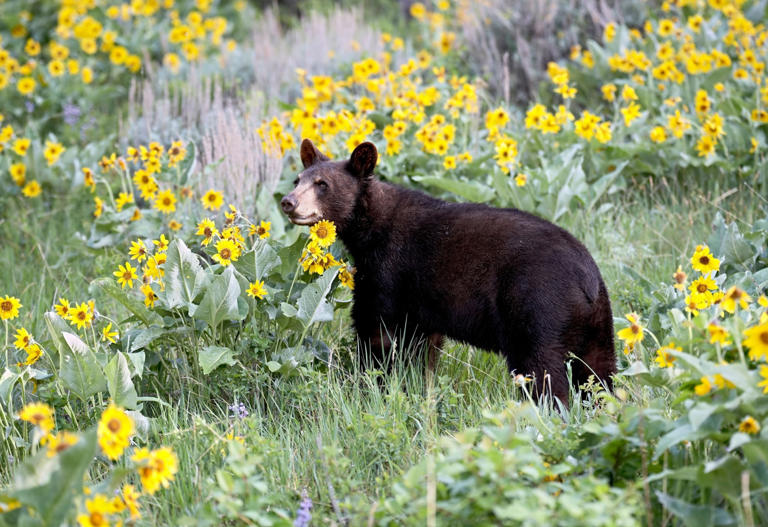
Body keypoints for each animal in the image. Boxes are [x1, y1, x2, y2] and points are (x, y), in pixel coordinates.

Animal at [281, 139, 616, 404]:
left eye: (322, 185)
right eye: (297, 180)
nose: (288, 201)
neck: (371, 230)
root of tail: (587, 279)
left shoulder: (390, 272)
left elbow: (377, 332)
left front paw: (373, 387)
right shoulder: (421, 308)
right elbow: (423, 350)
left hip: (538, 306)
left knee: (543, 370)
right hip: (599, 324)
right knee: (599, 373)